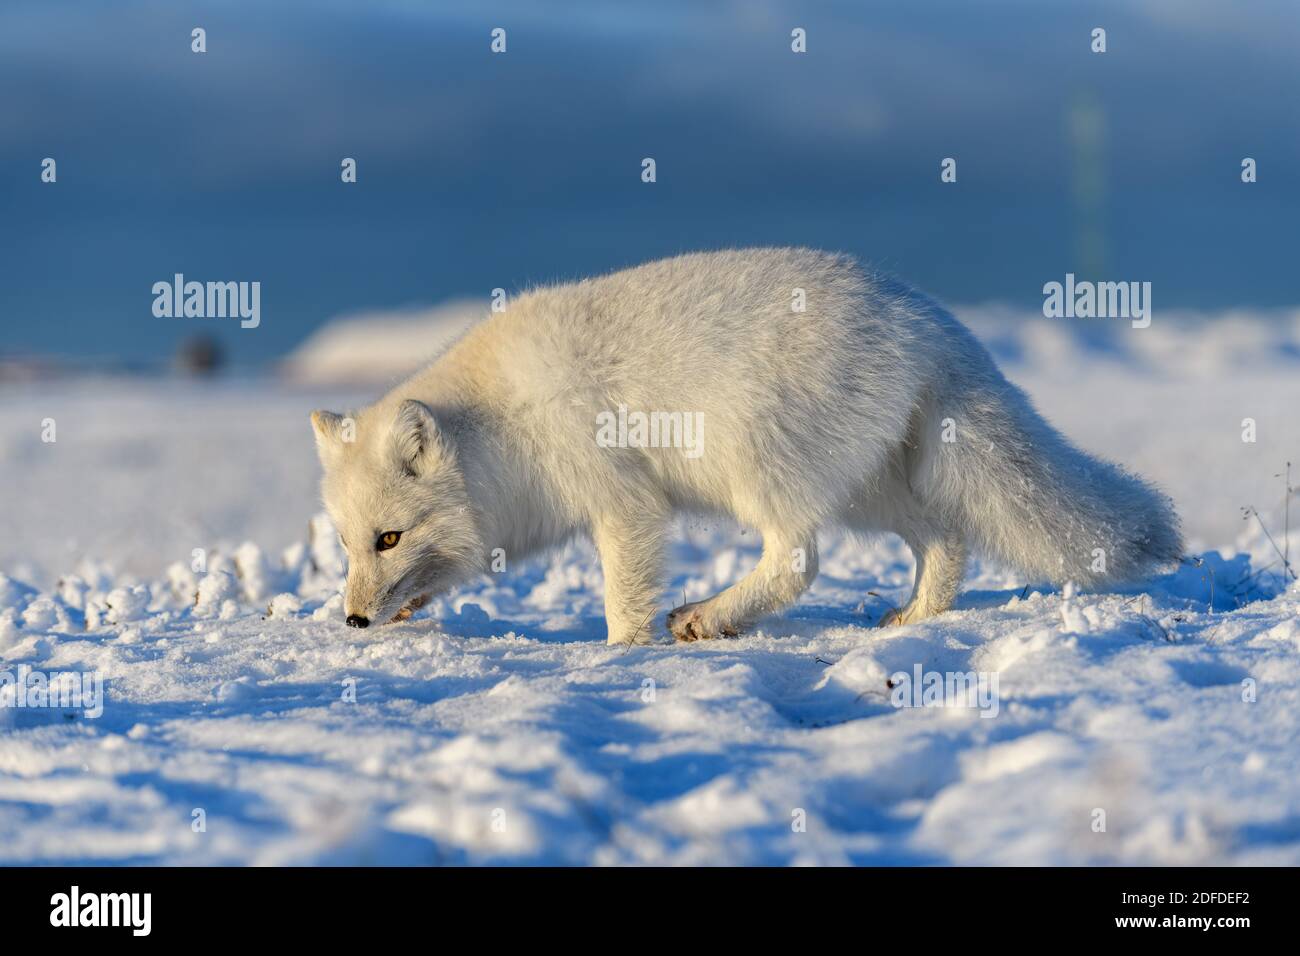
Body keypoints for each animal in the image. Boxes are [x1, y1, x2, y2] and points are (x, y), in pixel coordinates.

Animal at [310, 248, 1182, 644]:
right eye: (349, 545)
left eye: (390, 537)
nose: (351, 620)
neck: (502, 421)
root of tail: (927, 317)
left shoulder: (624, 504)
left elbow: (623, 596)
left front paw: (619, 655)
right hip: (874, 490)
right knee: (946, 539)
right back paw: (910, 620)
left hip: (752, 457)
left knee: (799, 560)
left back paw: (708, 618)